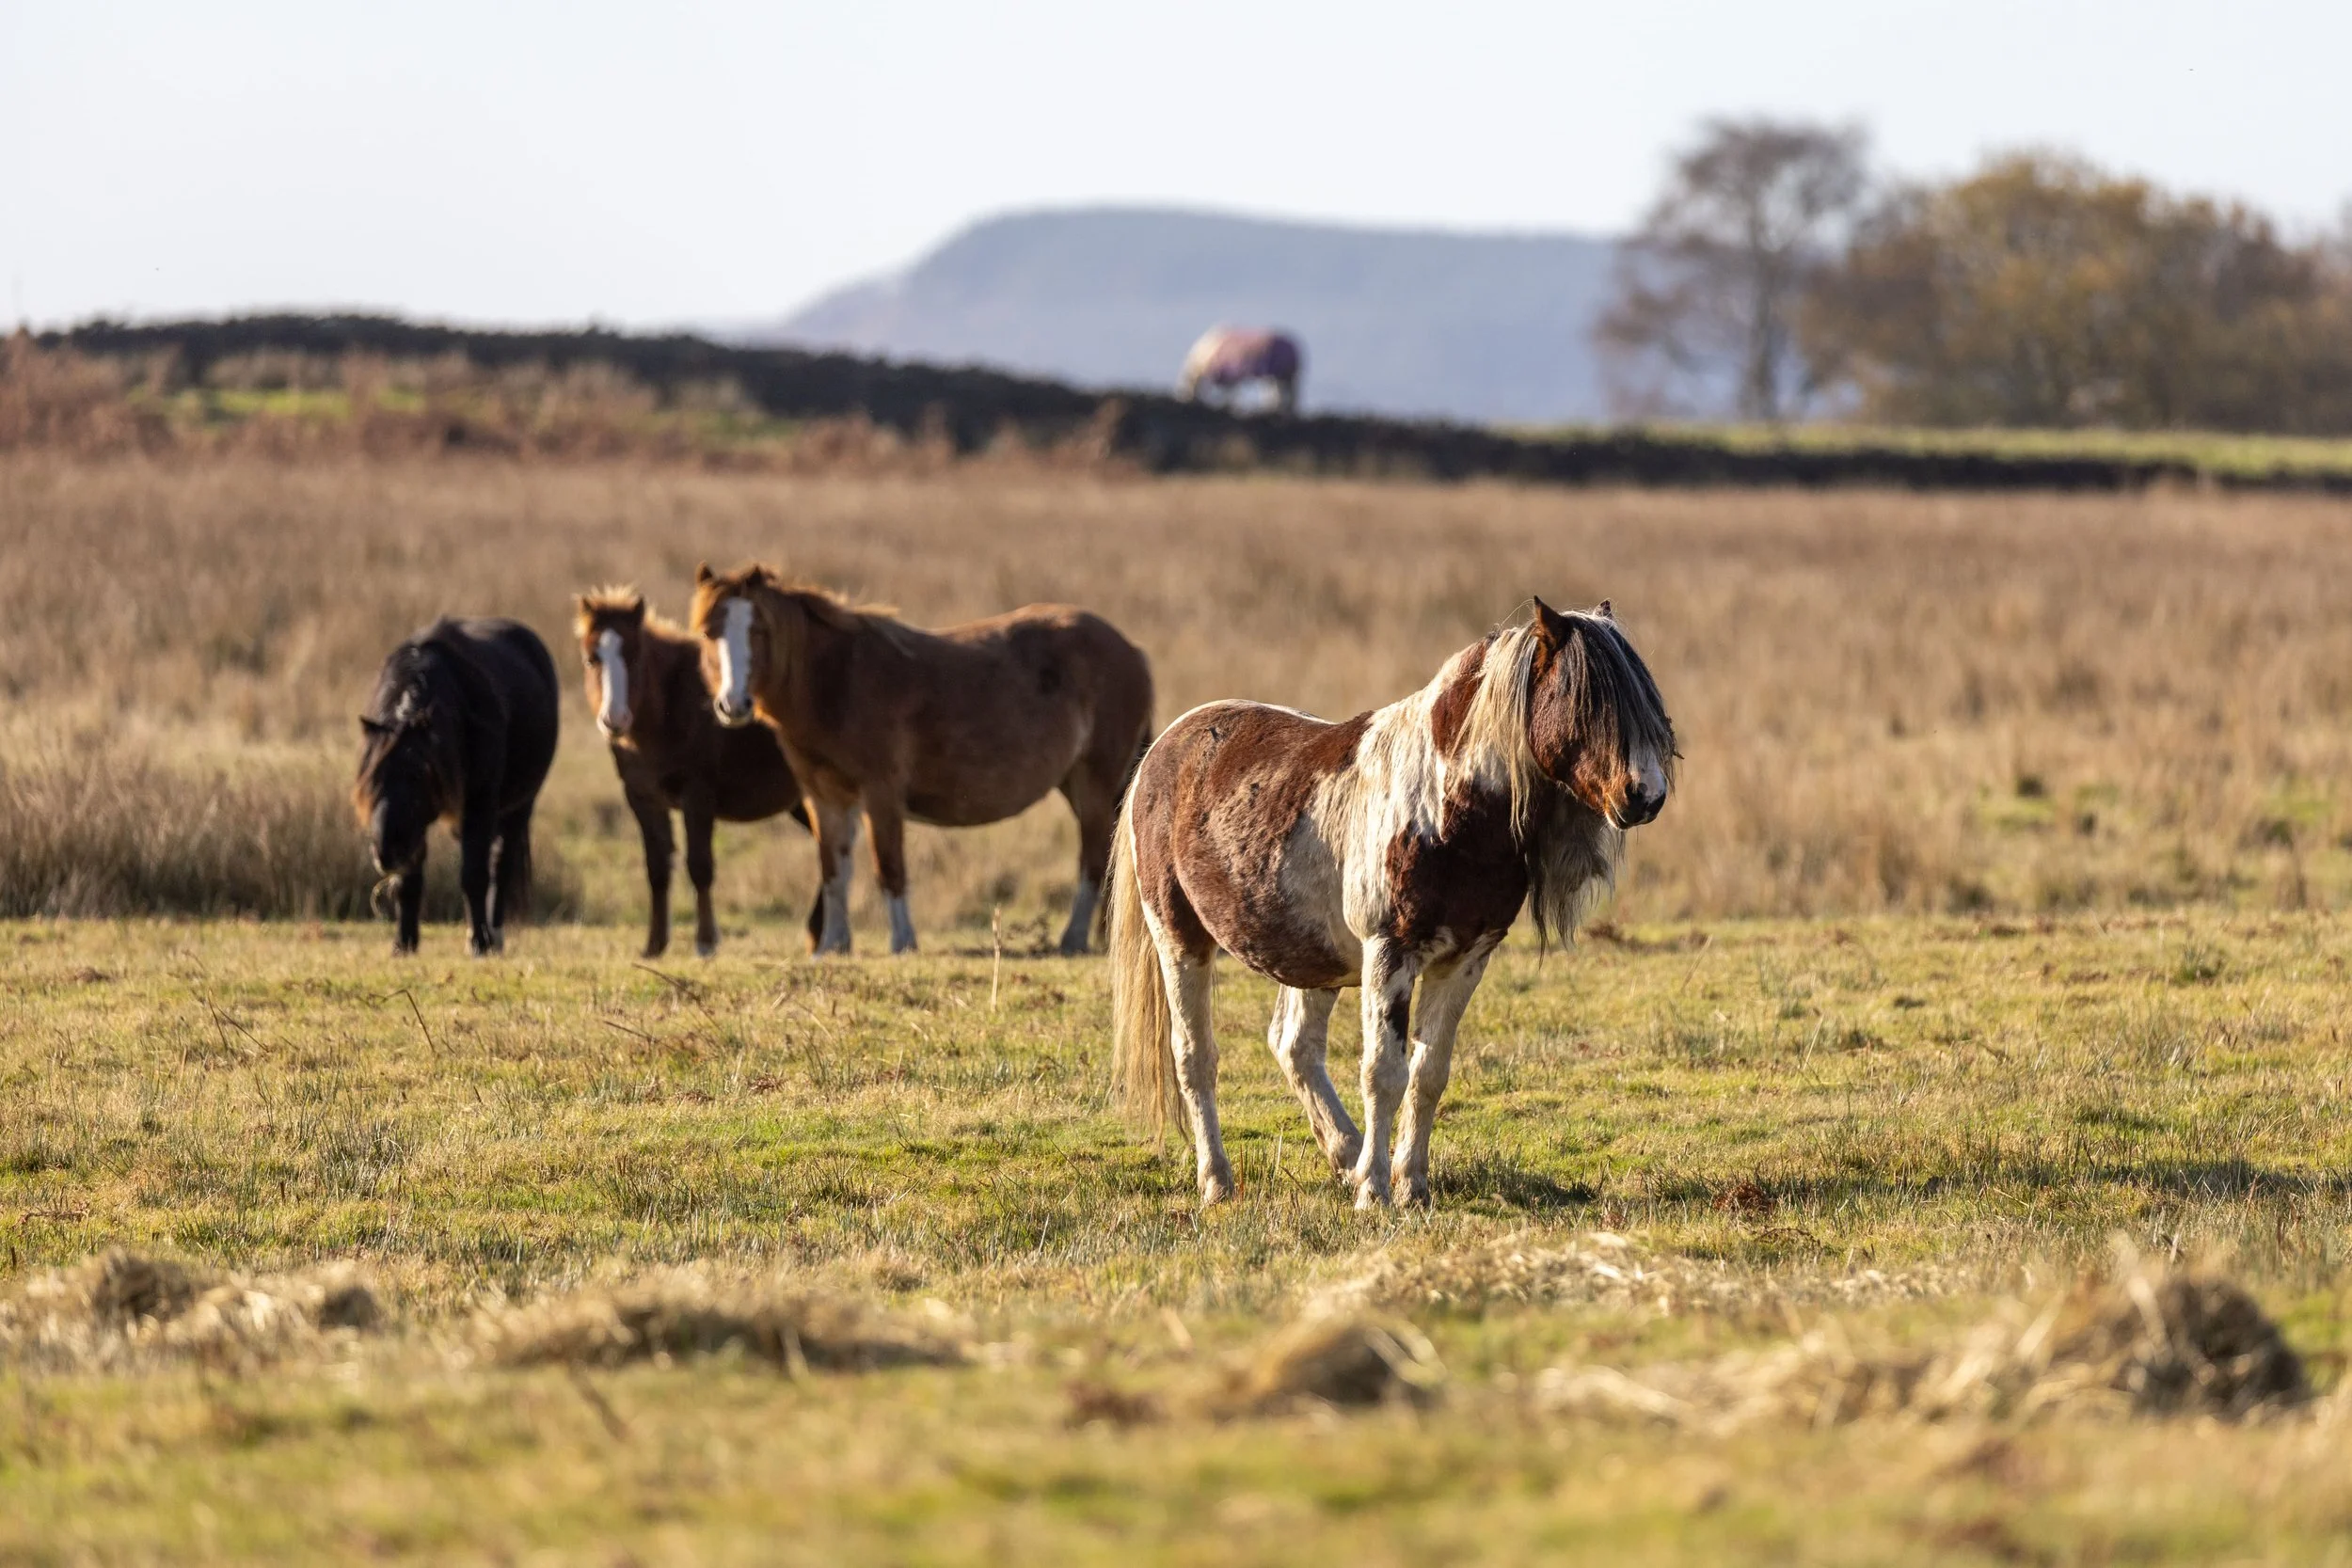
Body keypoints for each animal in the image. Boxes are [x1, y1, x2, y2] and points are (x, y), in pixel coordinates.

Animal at [354, 617, 560, 956]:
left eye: (417, 776)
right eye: (373, 779)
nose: (386, 850)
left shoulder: (479, 802)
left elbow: (474, 874)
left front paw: (479, 941)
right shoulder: (414, 827)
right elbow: (408, 883)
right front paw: (404, 943)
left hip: (520, 806)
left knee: (500, 865)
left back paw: (494, 935)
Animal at [575, 587, 824, 958]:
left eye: (633, 656)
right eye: (592, 659)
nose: (614, 719)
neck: (668, 711)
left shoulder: (697, 795)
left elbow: (700, 866)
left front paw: (706, 941)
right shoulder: (643, 797)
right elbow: (657, 867)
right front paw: (654, 945)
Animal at [691, 562, 1156, 957]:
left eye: (758, 630)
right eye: (710, 633)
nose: (733, 705)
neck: (837, 681)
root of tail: (1132, 651)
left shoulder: (881, 793)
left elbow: (889, 867)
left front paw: (902, 942)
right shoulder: (823, 798)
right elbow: (833, 871)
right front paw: (833, 946)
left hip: (1092, 783)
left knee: (1092, 859)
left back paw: (1072, 939)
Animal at [1108, 599, 1675, 1209]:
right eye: (1587, 700)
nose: (1647, 795)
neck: (1445, 809)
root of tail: (1163, 748)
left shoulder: (1465, 960)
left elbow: (1428, 1074)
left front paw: (1412, 1186)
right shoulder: (1390, 953)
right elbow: (1383, 1073)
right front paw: (1376, 1192)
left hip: (1315, 961)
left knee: (1294, 1047)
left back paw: (1346, 1155)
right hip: (1179, 941)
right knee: (1195, 1058)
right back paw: (1218, 1181)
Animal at [1176, 327, 1303, 414]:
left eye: (1185, 389)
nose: (1186, 401)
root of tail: (1295, 348)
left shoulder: (1230, 373)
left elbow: (1230, 392)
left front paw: (1229, 406)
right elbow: (1232, 392)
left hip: (1281, 372)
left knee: (1282, 393)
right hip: (1284, 374)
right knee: (1284, 393)